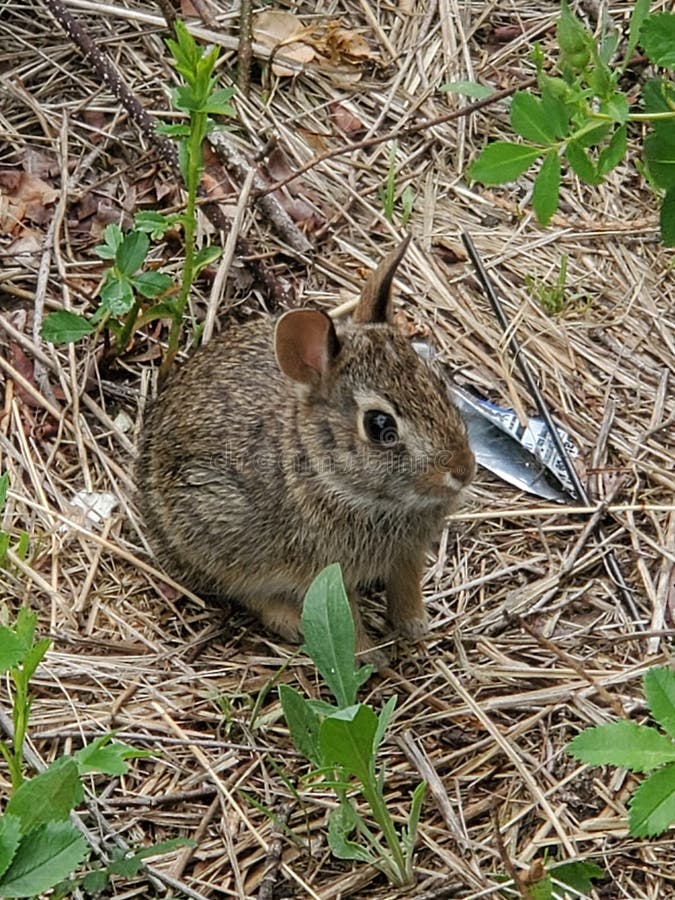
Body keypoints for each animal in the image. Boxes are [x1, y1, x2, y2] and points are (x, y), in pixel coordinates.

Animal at [136, 236, 475, 668]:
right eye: (379, 425)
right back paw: (290, 622)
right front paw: (369, 660)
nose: (463, 470)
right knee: (242, 590)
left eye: (438, 382)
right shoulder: (327, 570)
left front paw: (416, 628)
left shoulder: (407, 558)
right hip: (213, 535)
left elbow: (405, 590)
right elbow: (344, 618)